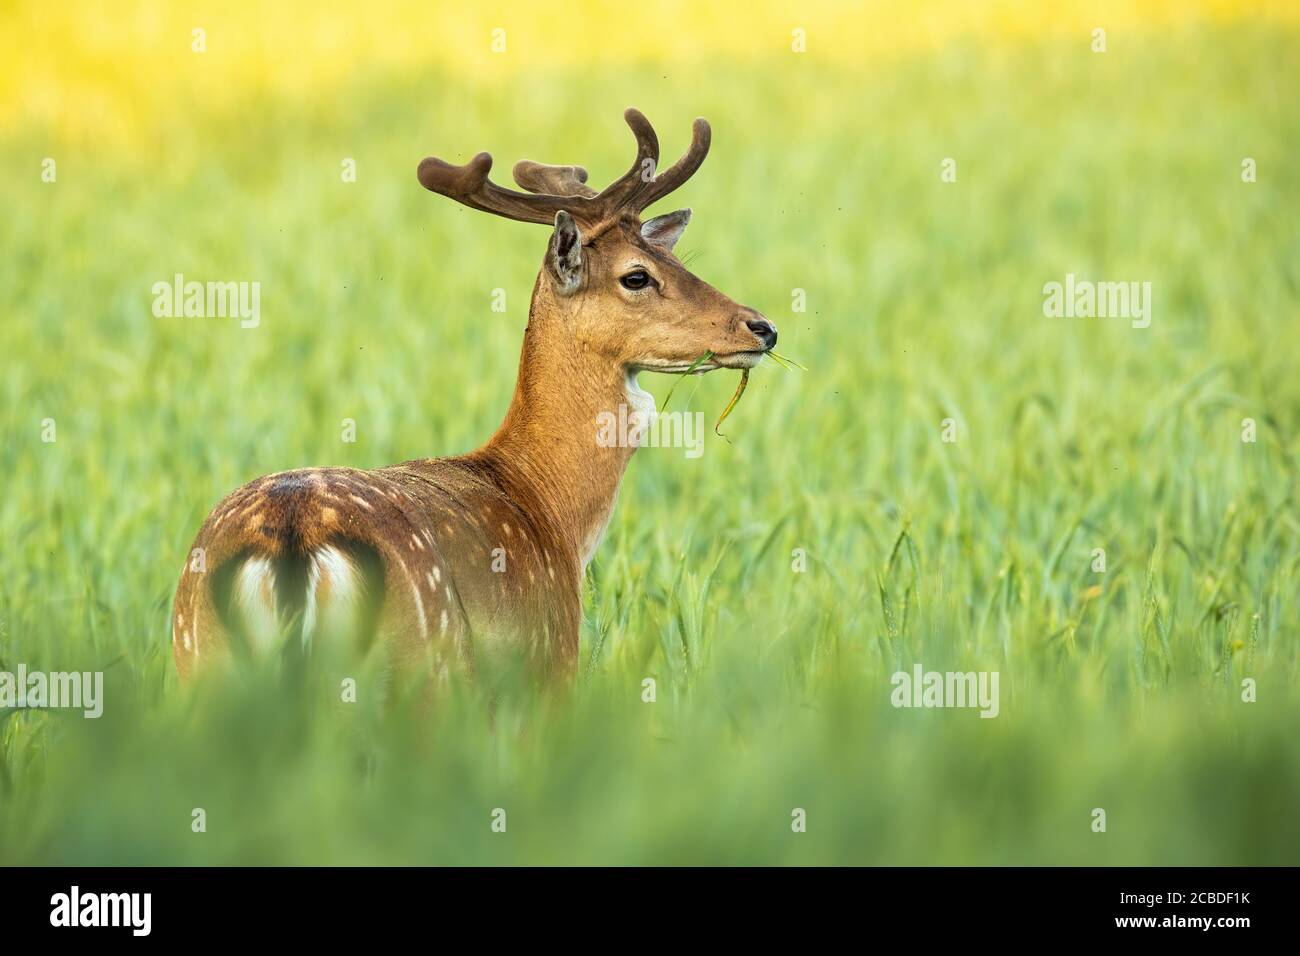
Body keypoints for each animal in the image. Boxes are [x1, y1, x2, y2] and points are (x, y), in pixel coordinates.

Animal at [170, 108, 778, 687]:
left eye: (678, 259)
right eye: (636, 276)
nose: (763, 327)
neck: (546, 505)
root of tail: (293, 539)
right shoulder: (550, 665)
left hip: (194, 657)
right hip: (425, 664)